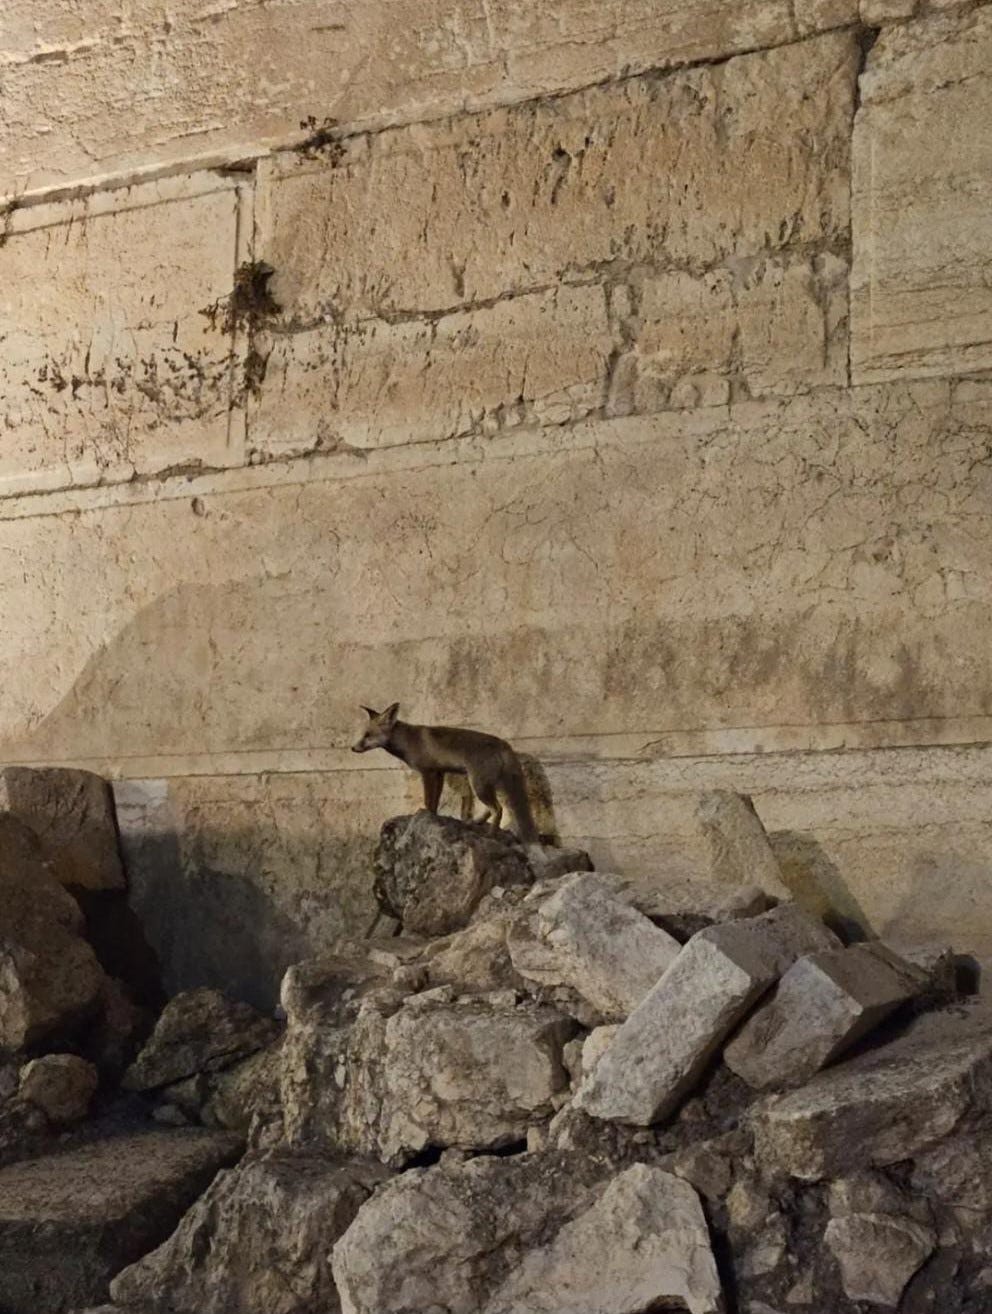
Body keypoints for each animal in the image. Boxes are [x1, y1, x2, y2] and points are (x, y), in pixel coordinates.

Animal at [352, 703, 539, 844]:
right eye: (363, 735)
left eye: (368, 735)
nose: (353, 748)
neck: (408, 741)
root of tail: (504, 743)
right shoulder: (439, 773)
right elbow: (435, 802)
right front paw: (433, 819)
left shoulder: (427, 772)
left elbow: (428, 801)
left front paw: (425, 818)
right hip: (488, 785)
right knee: (492, 808)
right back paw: (476, 822)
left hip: (479, 784)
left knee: (498, 809)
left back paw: (491, 835)